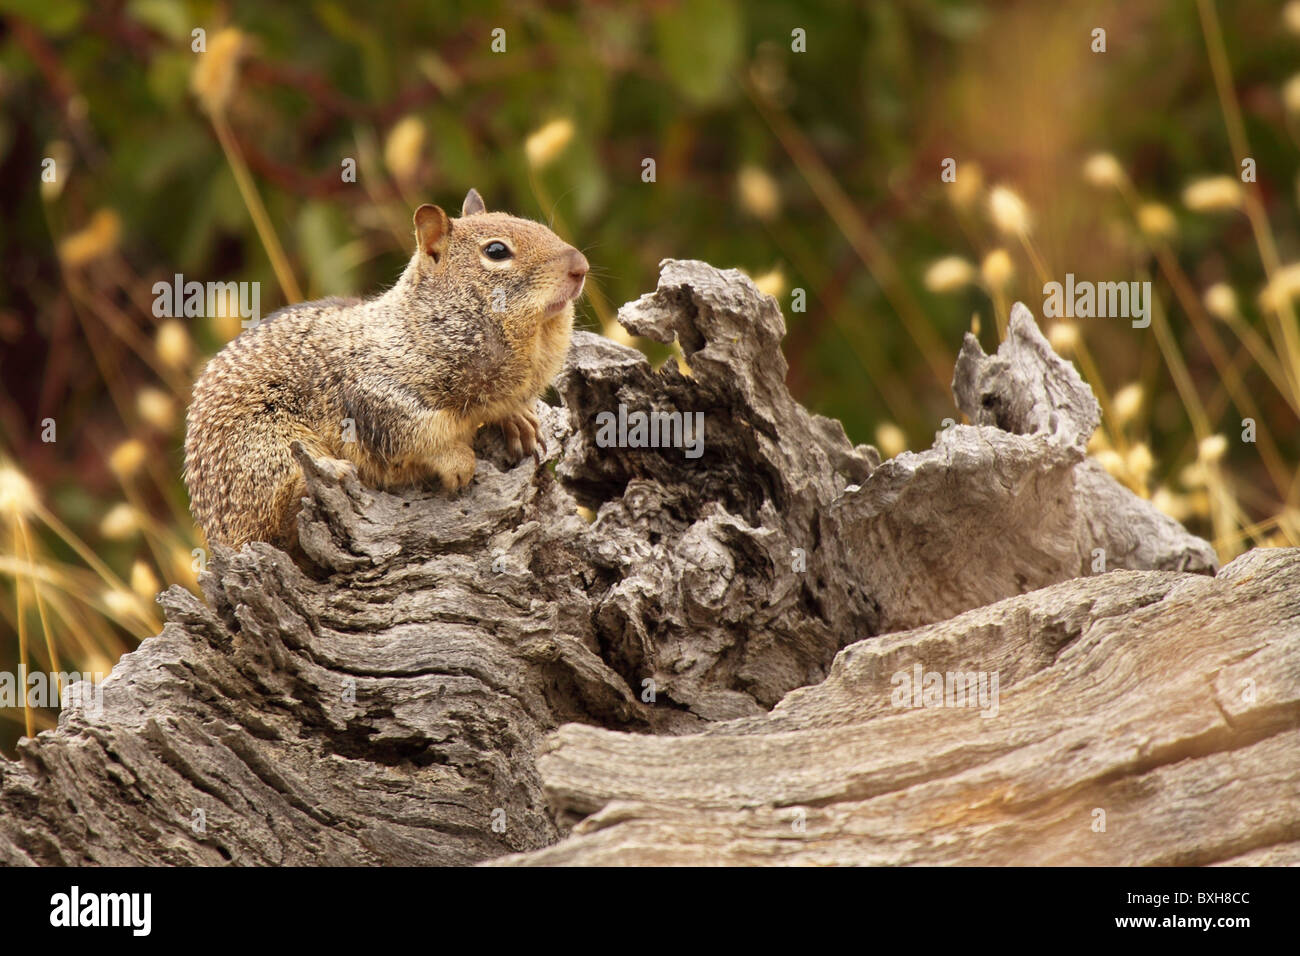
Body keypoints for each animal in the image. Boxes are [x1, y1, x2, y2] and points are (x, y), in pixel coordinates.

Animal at [184, 188, 588, 551]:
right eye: (496, 251)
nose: (580, 265)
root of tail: (214, 531)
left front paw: (520, 421)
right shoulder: (375, 391)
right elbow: (419, 433)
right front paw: (457, 462)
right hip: (262, 448)